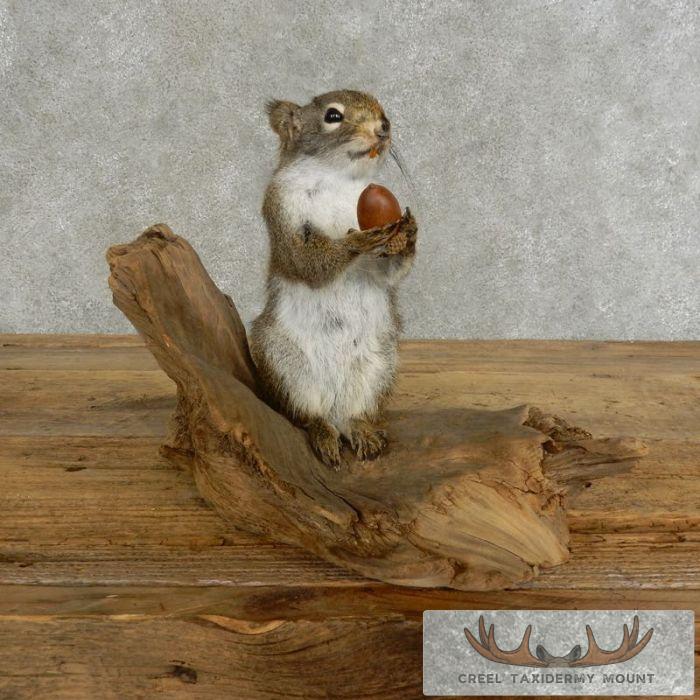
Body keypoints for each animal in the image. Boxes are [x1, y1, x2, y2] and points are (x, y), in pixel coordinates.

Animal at [249, 90, 417, 468]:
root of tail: (335, 407)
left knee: (356, 413)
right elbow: (306, 262)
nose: (383, 128)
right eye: (332, 116)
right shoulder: (281, 208)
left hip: (378, 365)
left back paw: (361, 430)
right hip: (285, 365)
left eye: (382, 109)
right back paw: (324, 434)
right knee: (308, 415)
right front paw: (359, 240)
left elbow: (389, 274)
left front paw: (406, 235)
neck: (339, 178)